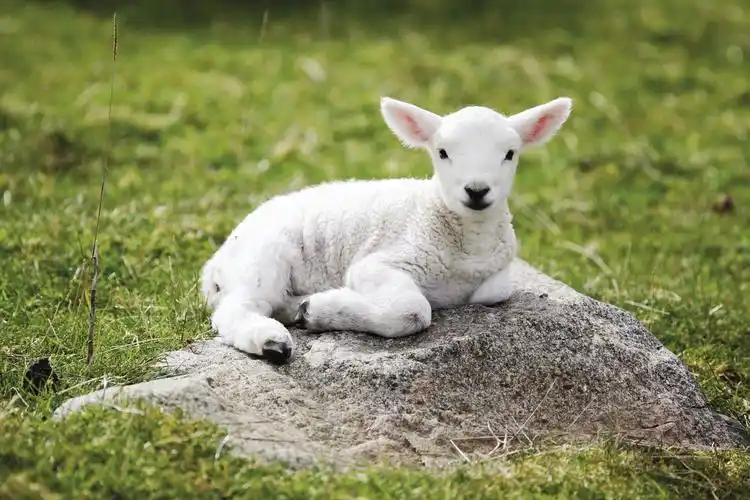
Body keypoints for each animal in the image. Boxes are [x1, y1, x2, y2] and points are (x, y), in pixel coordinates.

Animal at [200, 95, 573, 365]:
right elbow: (414, 310)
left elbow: (495, 292)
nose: (477, 190)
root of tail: (215, 263)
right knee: (236, 310)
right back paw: (271, 341)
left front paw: (318, 308)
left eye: (510, 154)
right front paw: (323, 311)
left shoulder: (497, 276)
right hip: (261, 258)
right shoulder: (378, 264)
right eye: (442, 153)